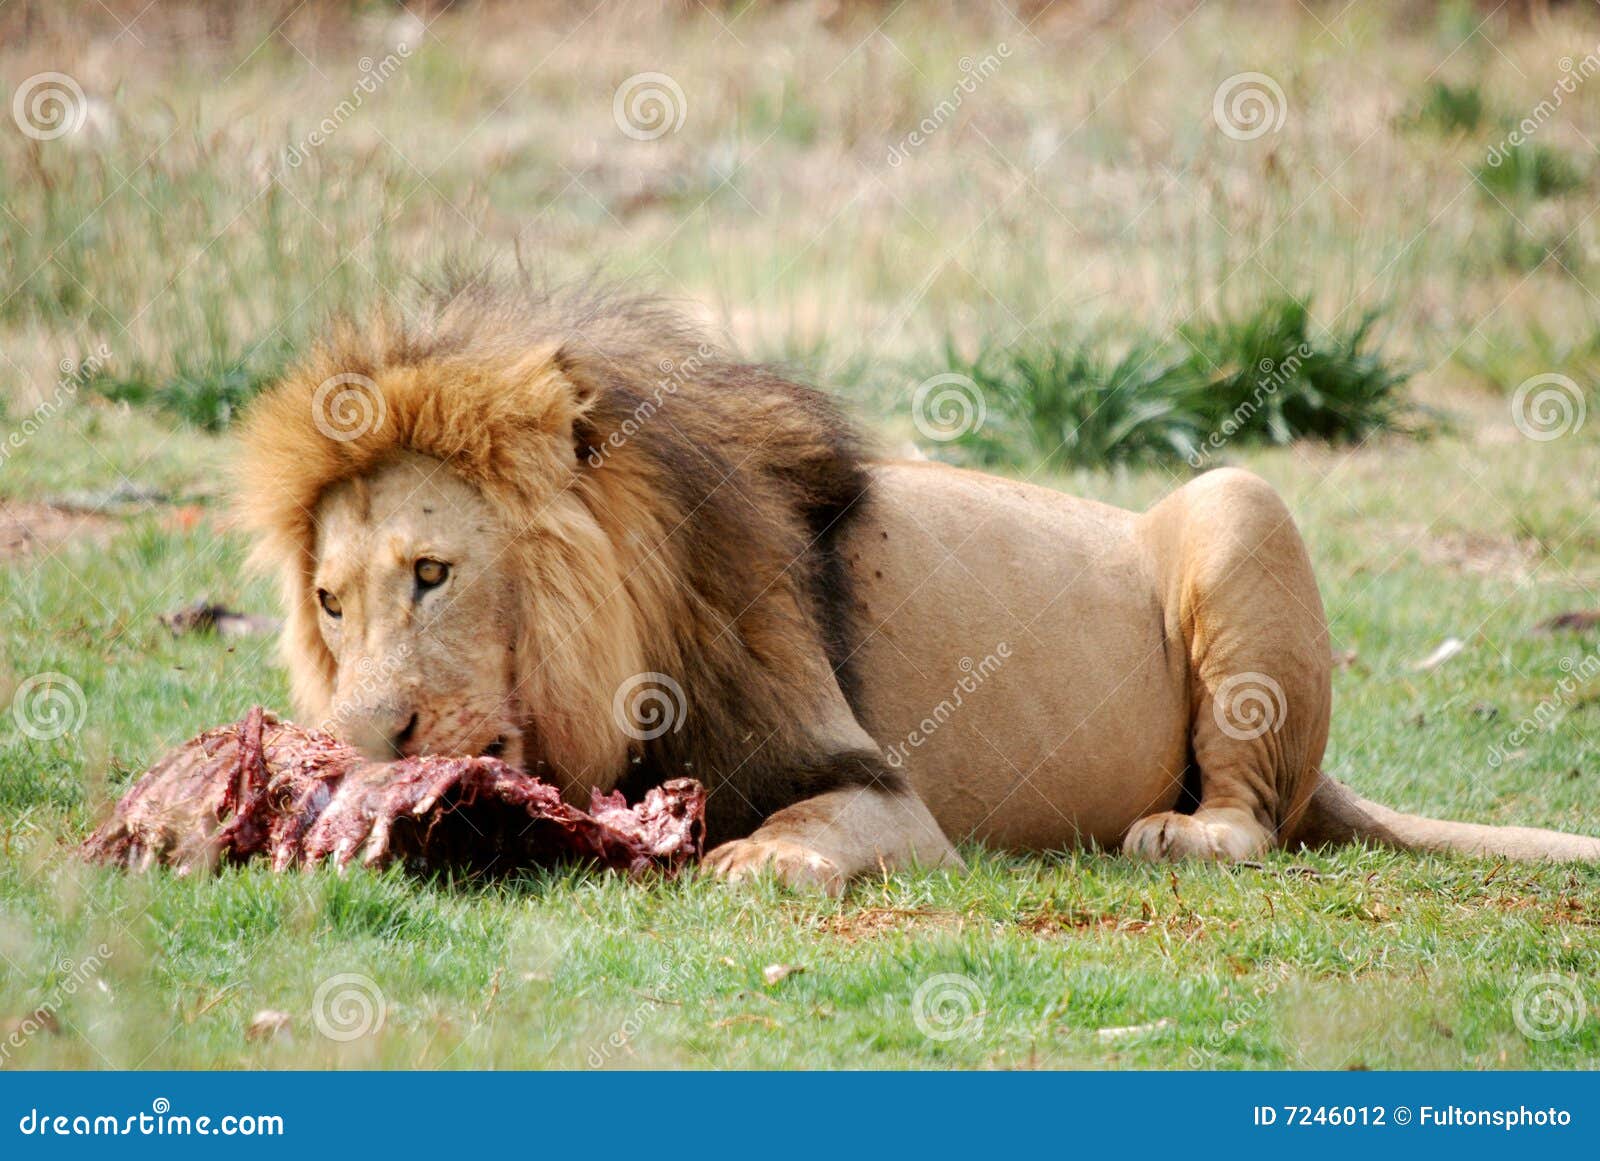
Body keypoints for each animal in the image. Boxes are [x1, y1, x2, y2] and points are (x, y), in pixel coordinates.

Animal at [236, 280, 1600, 893]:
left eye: (433, 574)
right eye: (330, 603)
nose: (364, 741)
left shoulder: (888, 799)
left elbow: (803, 829)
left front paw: (749, 856)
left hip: (1236, 502)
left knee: (1253, 816)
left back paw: (1185, 830)